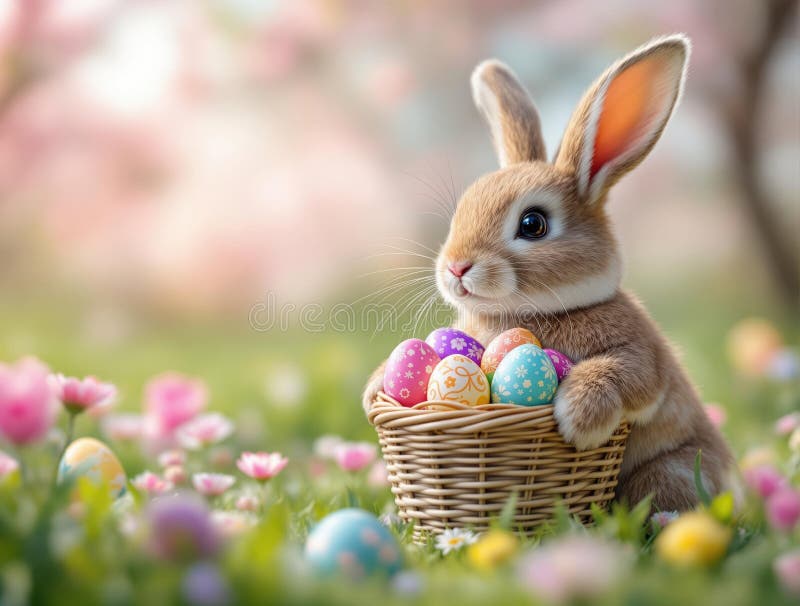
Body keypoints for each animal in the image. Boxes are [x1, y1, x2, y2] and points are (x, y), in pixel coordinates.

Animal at [363, 35, 734, 512]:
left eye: (533, 224)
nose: (455, 266)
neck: (530, 312)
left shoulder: (641, 354)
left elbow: (626, 373)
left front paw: (578, 417)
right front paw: (373, 389)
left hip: (669, 471)